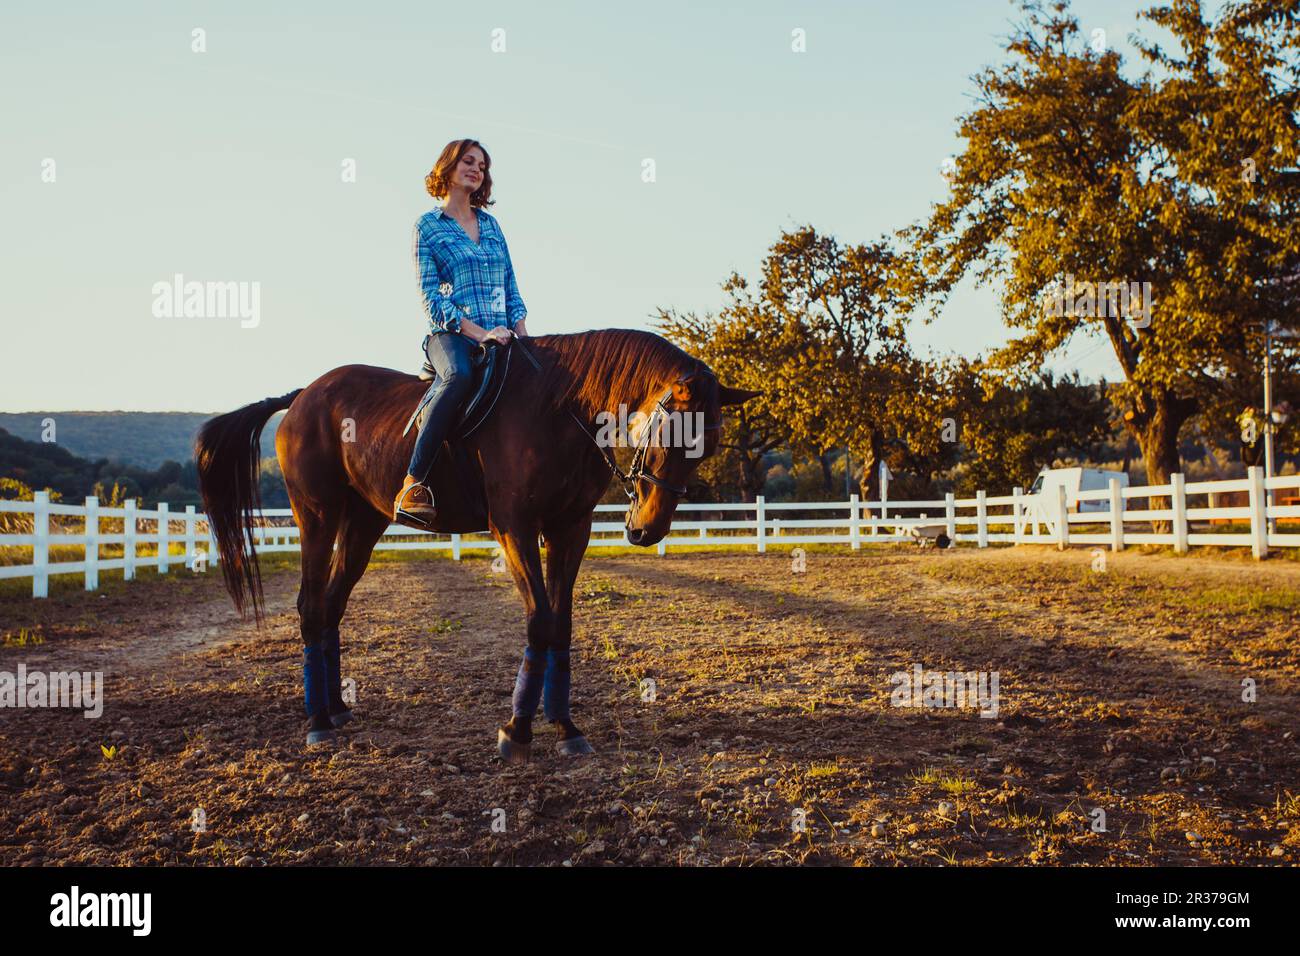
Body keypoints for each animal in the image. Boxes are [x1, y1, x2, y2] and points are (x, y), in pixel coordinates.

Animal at [195, 329, 757, 760]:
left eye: (707, 446)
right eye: (672, 433)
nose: (649, 529)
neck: (559, 410)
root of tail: (303, 396)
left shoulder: (570, 528)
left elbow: (561, 624)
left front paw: (565, 728)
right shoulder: (514, 527)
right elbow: (540, 620)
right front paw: (518, 731)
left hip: (363, 523)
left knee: (332, 605)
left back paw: (335, 709)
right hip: (318, 517)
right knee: (312, 605)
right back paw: (316, 722)